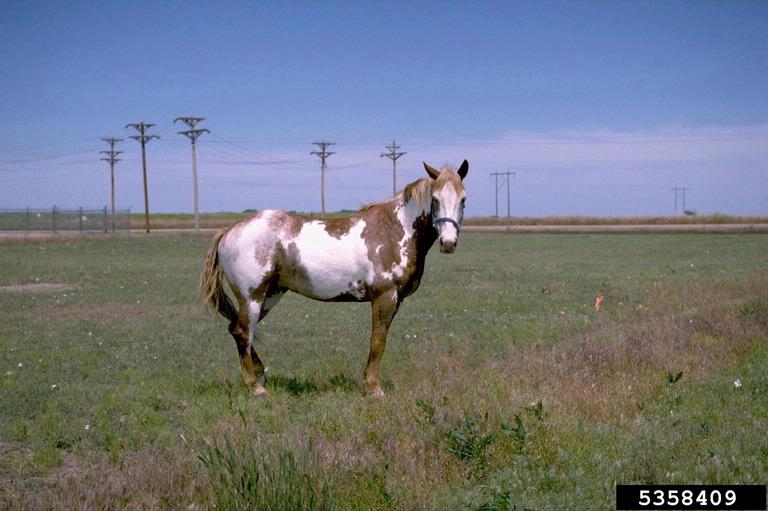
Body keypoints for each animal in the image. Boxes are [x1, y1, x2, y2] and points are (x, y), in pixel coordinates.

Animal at [200, 160, 469, 397]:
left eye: (463, 199)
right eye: (435, 199)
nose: (448, 243)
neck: (394, 230)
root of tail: (229, 230)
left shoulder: (395, 300)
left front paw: (367, 383)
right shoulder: (384, 297)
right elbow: (377, 341)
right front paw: (374, 388)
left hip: (270, 295)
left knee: (238, 330)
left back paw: (260, 375)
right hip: (252, 296)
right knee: (243, 333)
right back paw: (255, 387)